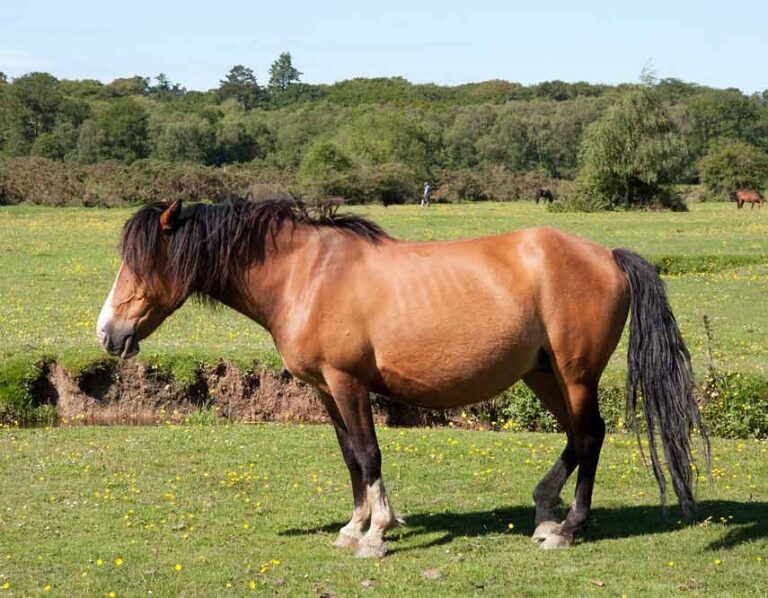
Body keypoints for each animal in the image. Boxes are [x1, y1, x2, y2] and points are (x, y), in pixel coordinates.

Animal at [97, 198, 710, 557]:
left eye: (142, 263)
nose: (108, 334)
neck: (304, 275)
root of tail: (605, 254)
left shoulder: (348, 382)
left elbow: (369, 454)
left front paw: (377, 533)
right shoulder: (325, 390)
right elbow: (351, 458)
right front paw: (354, 526)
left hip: (576, 374)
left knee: (588, 436)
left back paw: (566, 528)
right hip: (543, 375)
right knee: (578, 437)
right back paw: (544, 511)